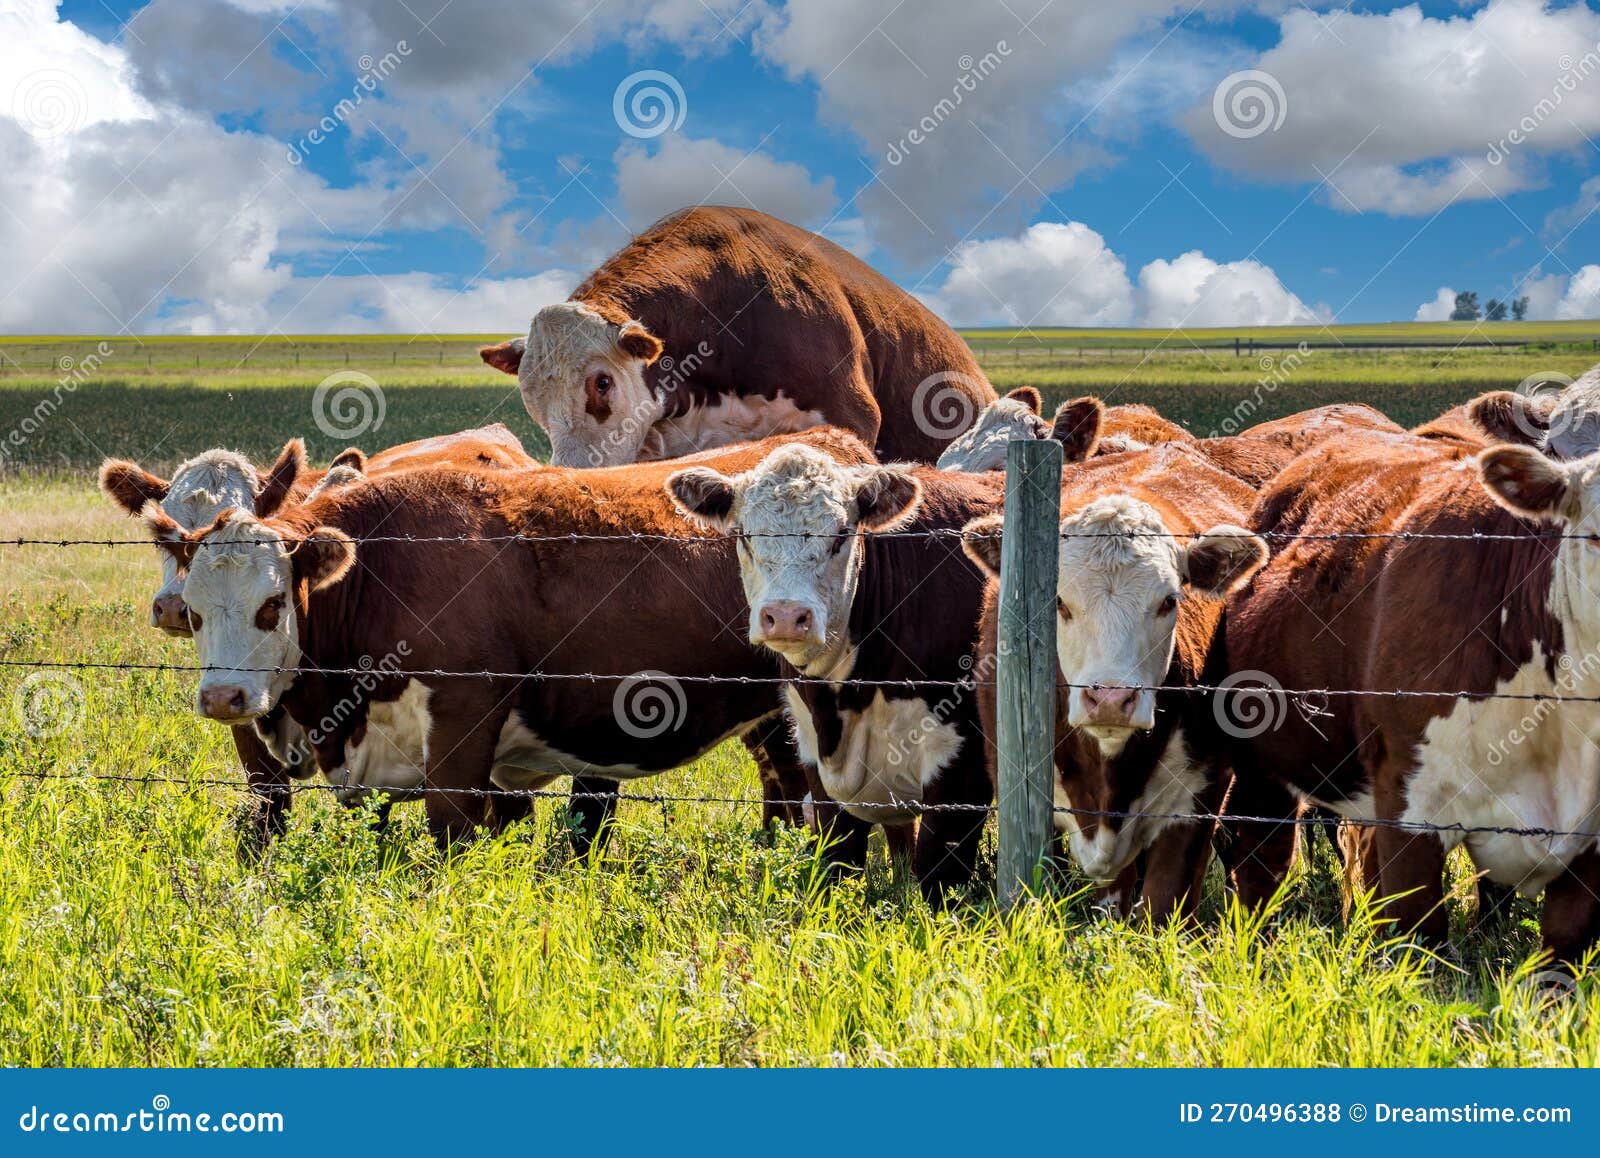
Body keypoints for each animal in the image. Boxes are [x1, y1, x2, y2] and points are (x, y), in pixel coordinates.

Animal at [666, 440, 1017, 902]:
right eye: (744, 534)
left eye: (840, 535)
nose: (785, 616)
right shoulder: (815, 761)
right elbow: (838, 863)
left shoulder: (962, 768)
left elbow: (937, 879)